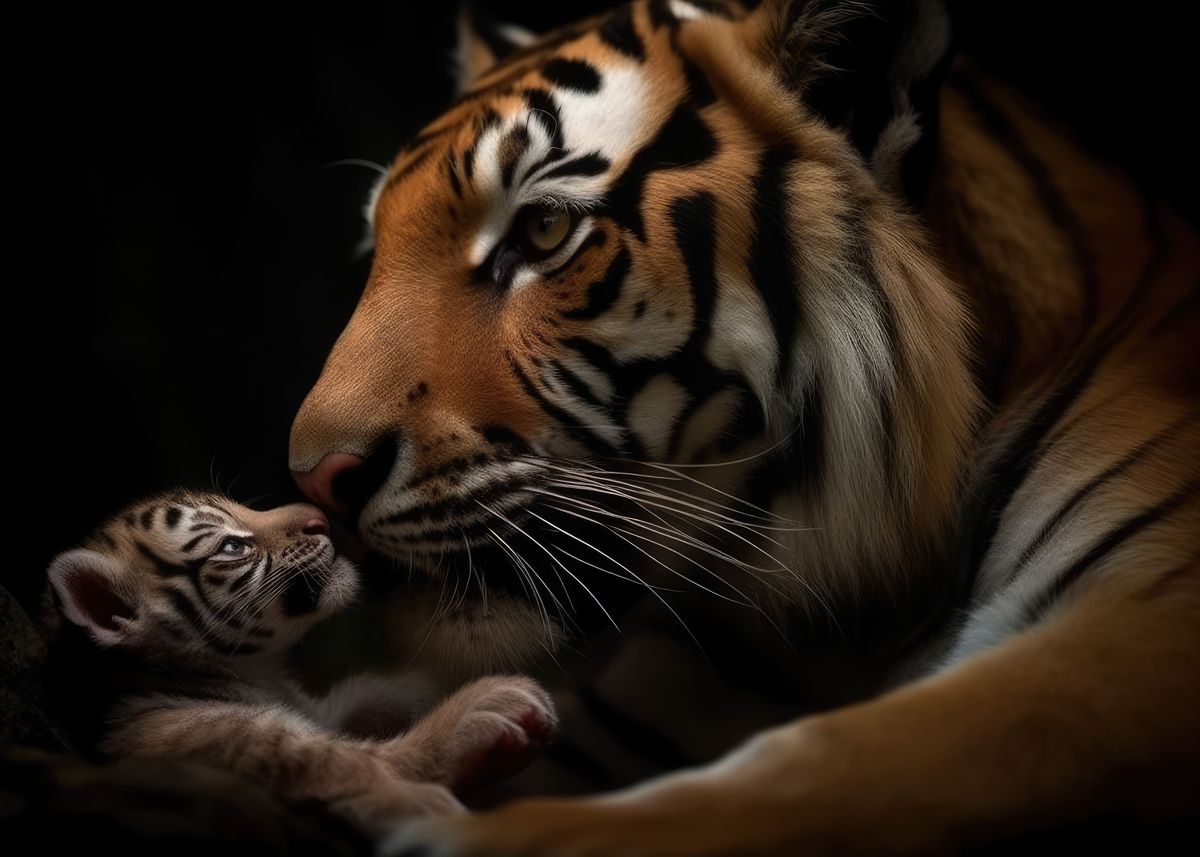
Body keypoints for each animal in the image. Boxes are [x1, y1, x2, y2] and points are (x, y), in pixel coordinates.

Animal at [42, 491, 557, 835]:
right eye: (232, 547)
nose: (319, 518)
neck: (263, 673)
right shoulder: (238, 742)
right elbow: (350, 761)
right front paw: (481, 710)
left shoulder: (322, 706)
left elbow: (377, 692)